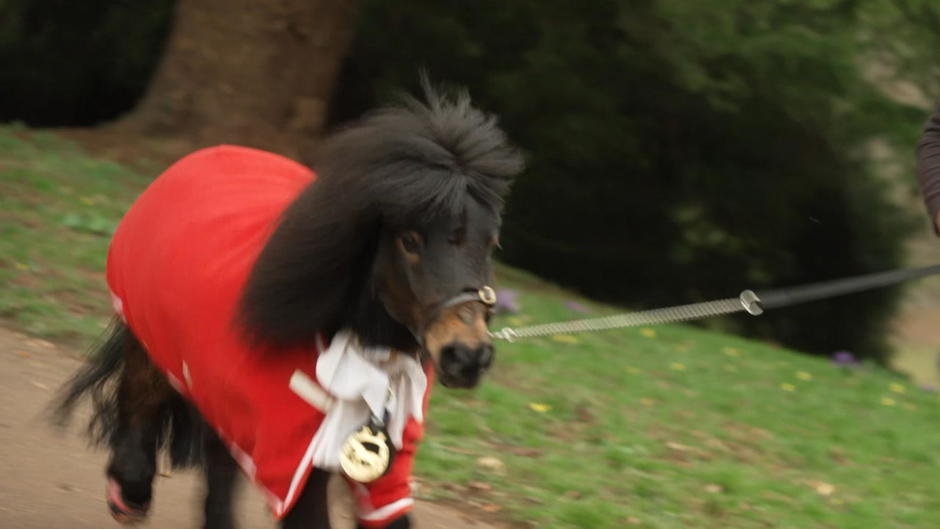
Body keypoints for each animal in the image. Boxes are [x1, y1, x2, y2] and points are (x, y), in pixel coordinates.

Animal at [53, 85, 523, 529]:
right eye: (410, 239)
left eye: (491, 242)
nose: (468, 356)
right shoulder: (295, 468)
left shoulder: (379, 477)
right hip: (153, 346)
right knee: (140, 413)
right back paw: (129, 492)